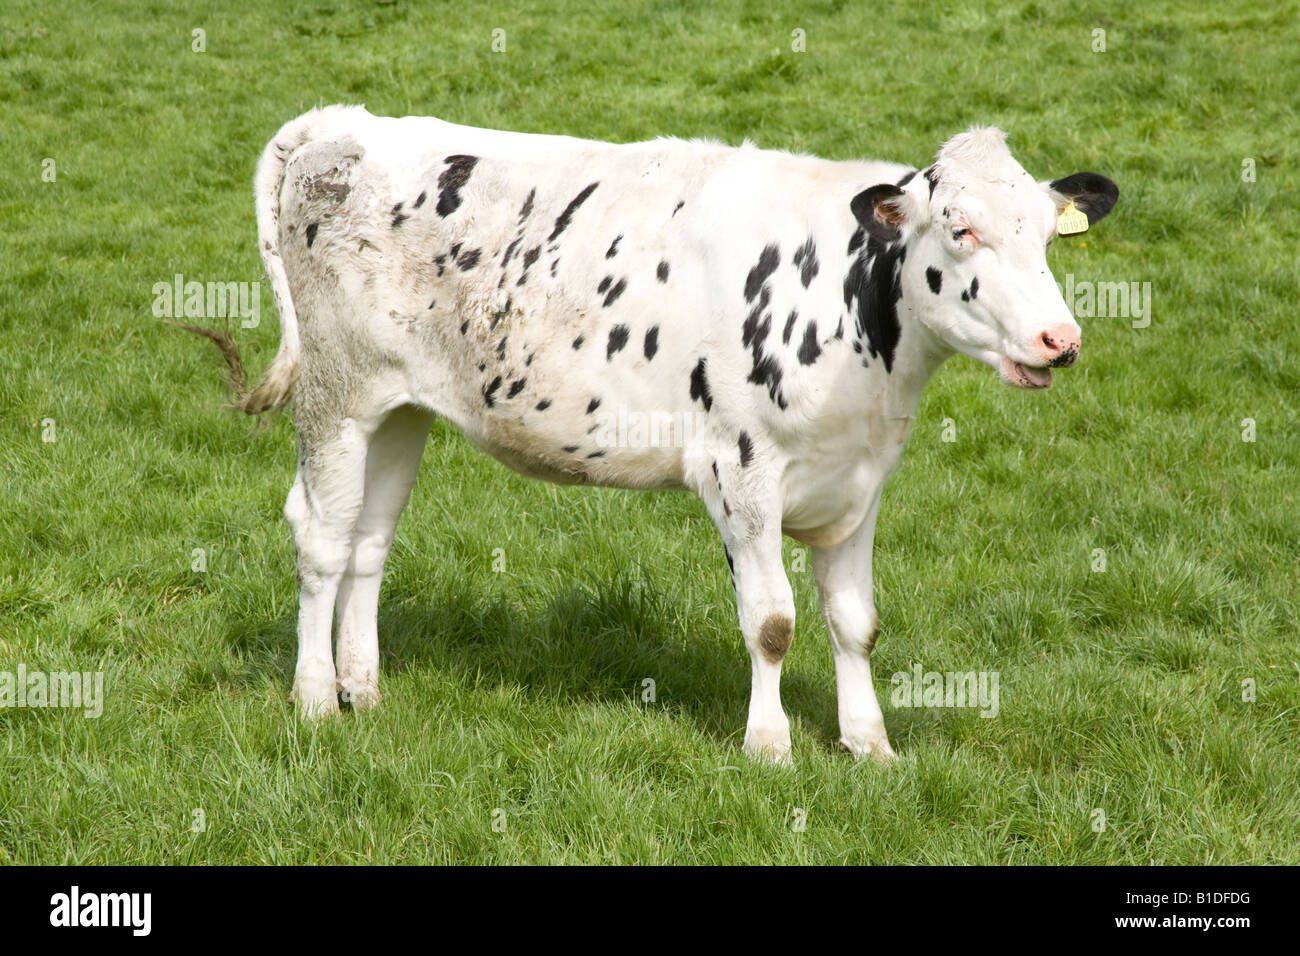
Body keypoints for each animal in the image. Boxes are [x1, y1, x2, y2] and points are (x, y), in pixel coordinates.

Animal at [184, 105, 1117, 763]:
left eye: (1046, 233)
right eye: (960, 228)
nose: (1059, 339)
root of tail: (345, 125)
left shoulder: (860, 480)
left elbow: (855, 622)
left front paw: (871, 745)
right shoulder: (740, 468)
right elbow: (772, 622)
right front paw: (769, 747)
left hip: (401, 408)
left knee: (368, 542)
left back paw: (365, 690)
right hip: (337, 397)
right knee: (321, 538)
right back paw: (315, 701)